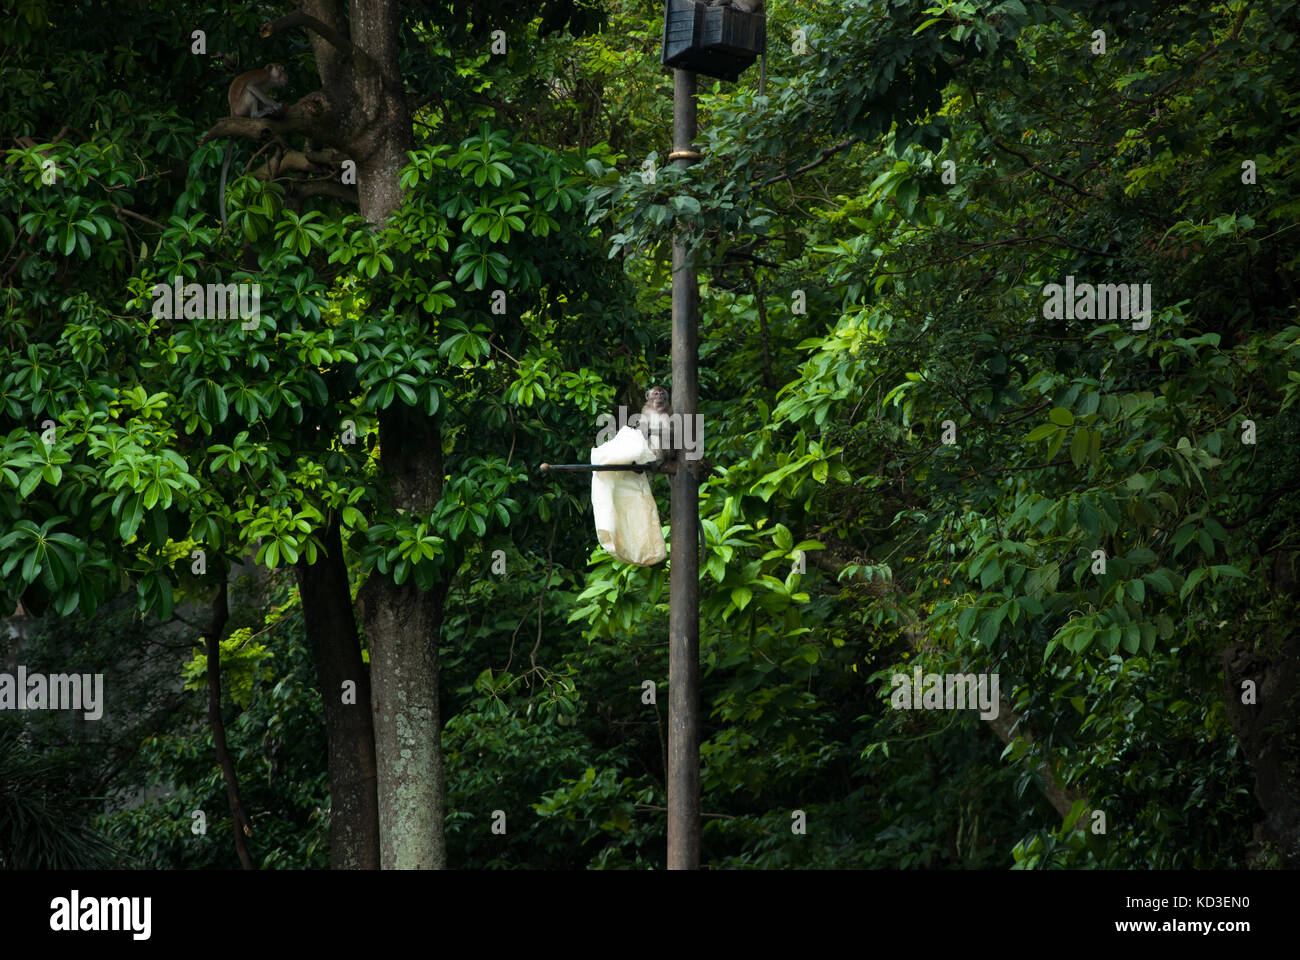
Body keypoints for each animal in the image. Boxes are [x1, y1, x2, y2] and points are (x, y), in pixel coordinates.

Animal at [219, 63, 288, 228]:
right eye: (281, 70)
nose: (286, 76)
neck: (269, 79)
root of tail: (233, 113)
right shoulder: (261, 78)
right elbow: (252, 88)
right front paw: (275, 105)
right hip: (242, 107)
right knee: (249, 93)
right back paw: (257, 115)